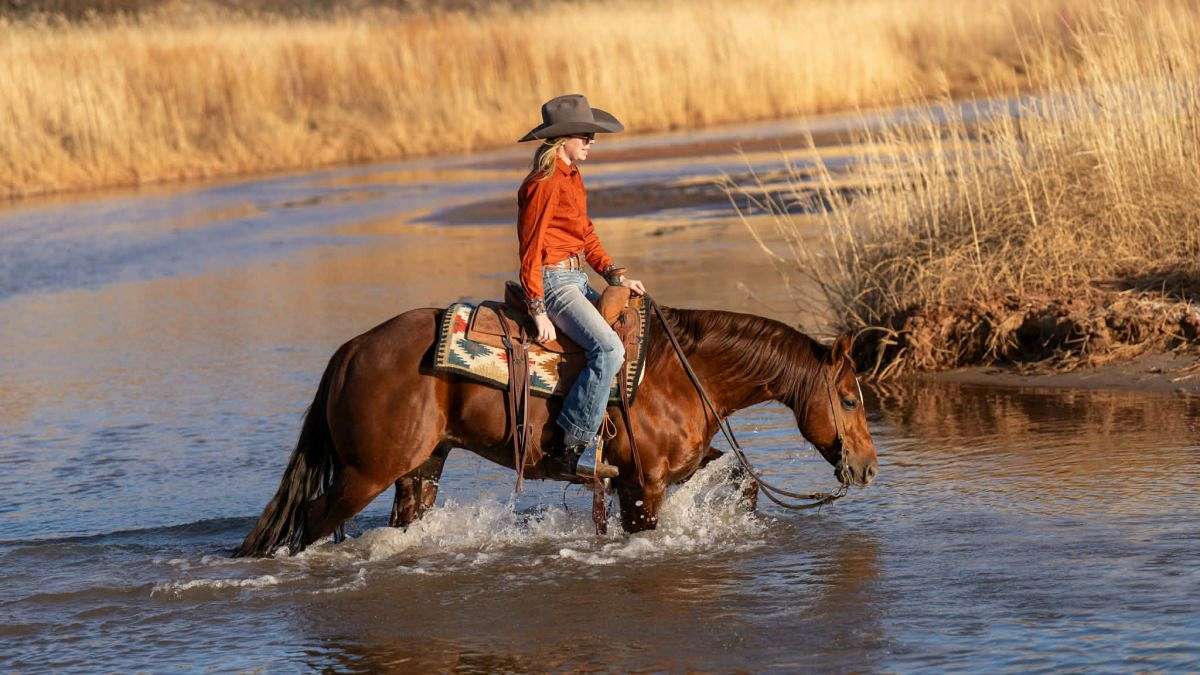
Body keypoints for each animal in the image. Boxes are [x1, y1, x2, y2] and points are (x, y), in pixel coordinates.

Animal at [233, 304, 879, 557]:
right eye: (849, 398)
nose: (869, 467)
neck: (680, 372)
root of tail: (351, 350)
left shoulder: (677, 466)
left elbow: (741, 480)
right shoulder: (642, 484)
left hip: (421, 467)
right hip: (363, 474)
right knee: (310, 523)